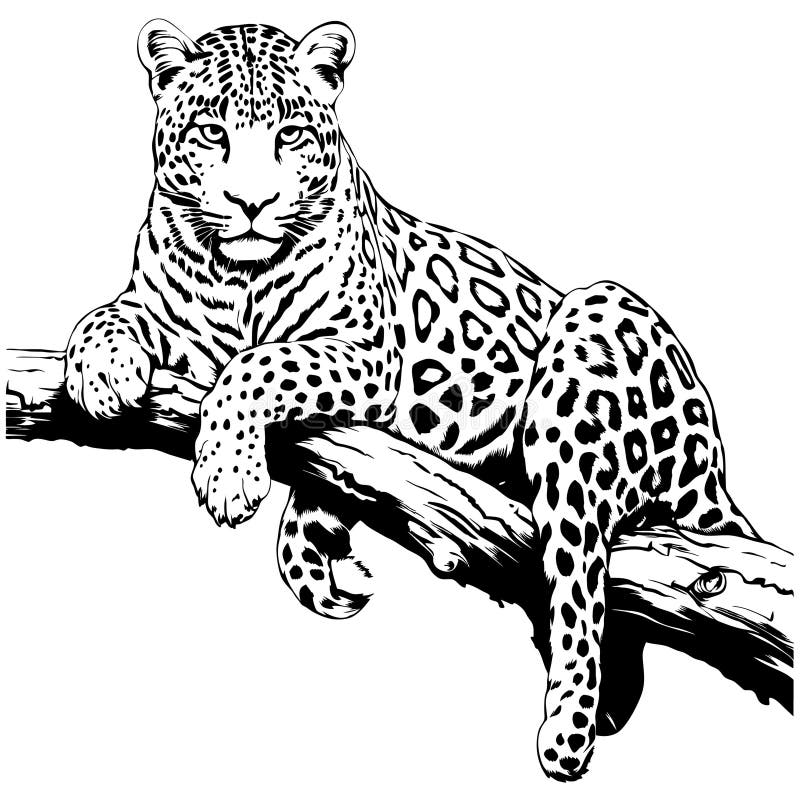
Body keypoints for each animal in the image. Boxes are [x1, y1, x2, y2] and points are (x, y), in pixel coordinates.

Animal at [64, 19, 757, 780]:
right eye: (212, 133)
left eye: (290, 134)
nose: (251, 205)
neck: (236, 274)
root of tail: (714, 464)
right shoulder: (171, 321)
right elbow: (110, 315)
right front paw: (98, 371)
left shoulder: (367, 354)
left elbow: (259, 362)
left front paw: (228, 475)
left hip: (594, 332)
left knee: (577, 580)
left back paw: (567, 735)